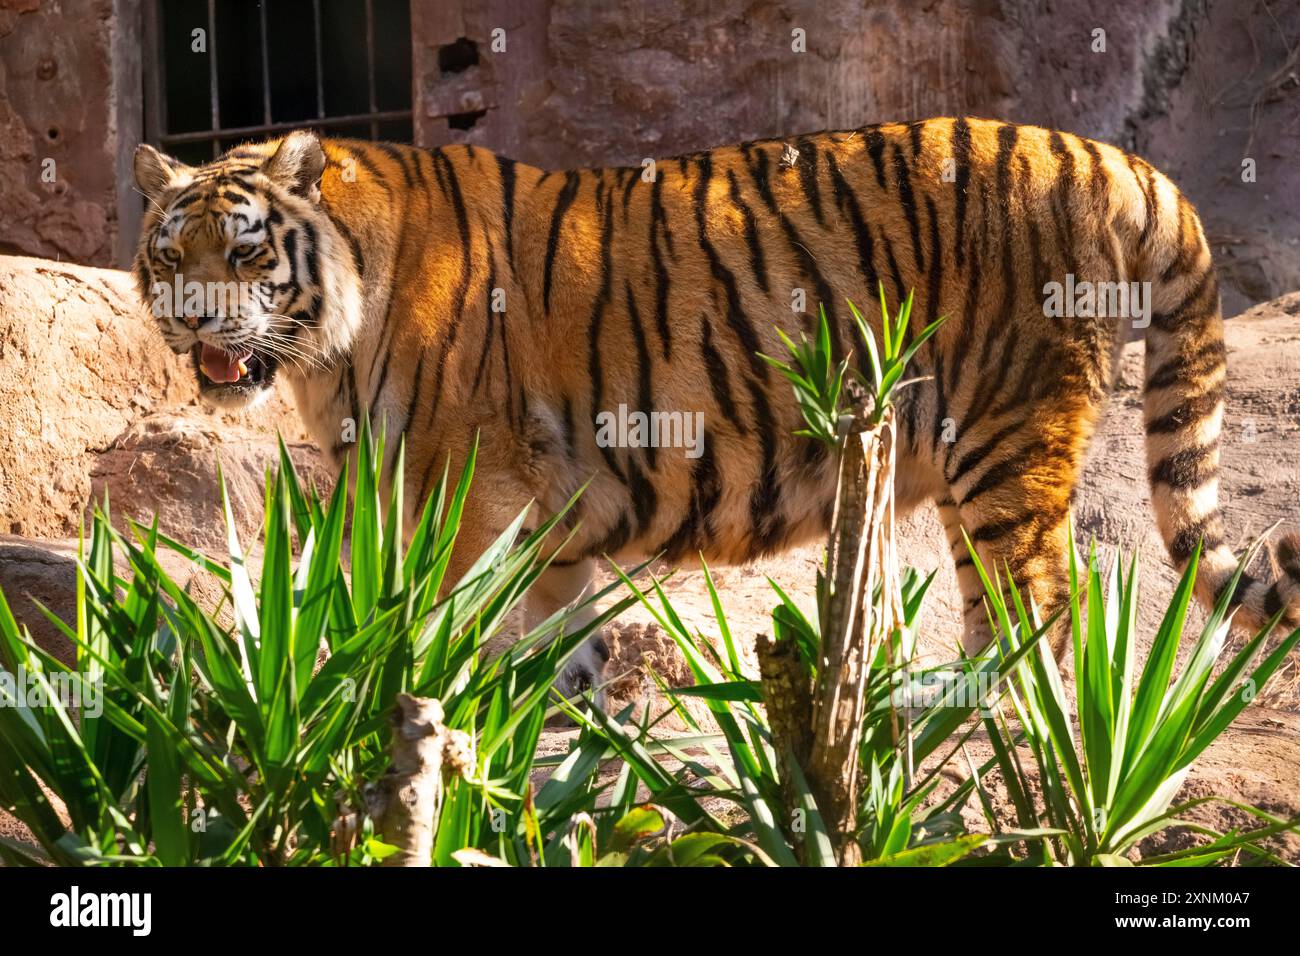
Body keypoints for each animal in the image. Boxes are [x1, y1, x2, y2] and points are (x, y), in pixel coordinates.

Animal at [131, 118, 1300, 704]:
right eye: (169, 255)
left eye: (246, 254)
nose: (195, 326)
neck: (325, 339)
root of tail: (1121, 160)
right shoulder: (545, 533)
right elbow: (561, 677)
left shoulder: (462, 502)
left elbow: (432, 648)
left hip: (1009, 456)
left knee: (1045, 634)